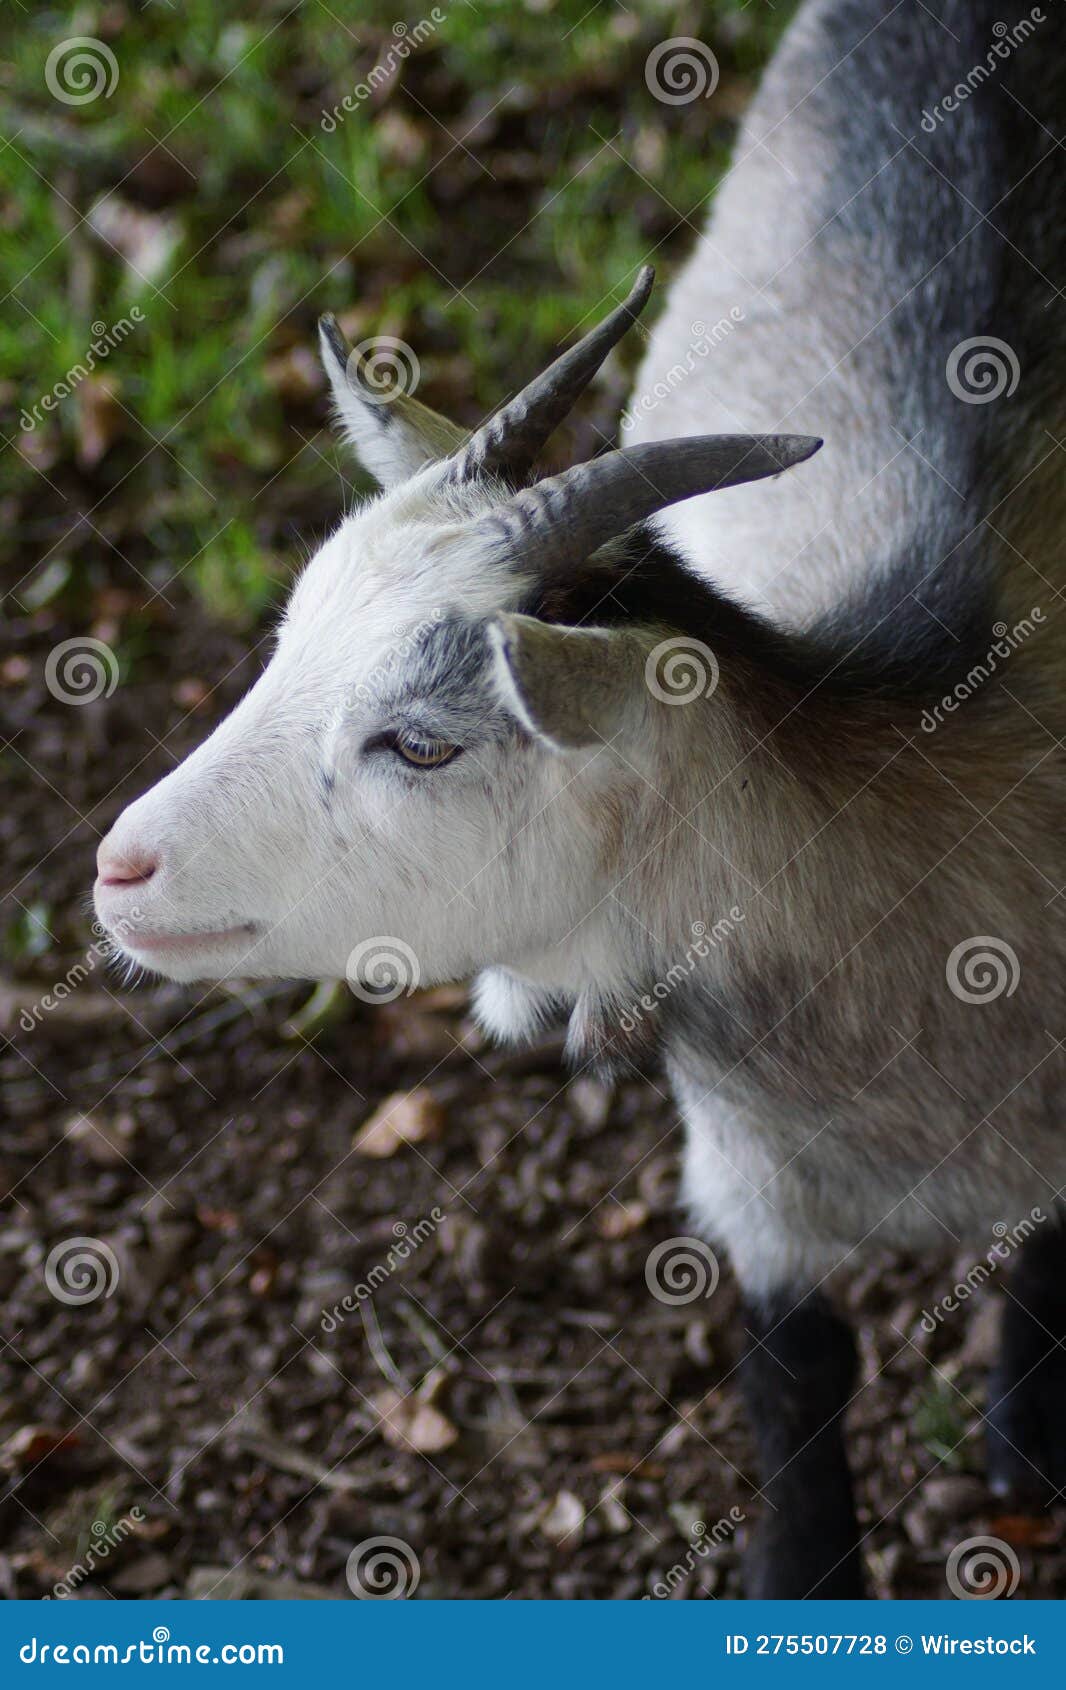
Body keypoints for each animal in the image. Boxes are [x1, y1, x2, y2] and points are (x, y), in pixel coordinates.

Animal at [94, 0, 1066, 1598]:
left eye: (423, 743)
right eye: (288, 640)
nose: (121, 868)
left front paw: (1025, 1447)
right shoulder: (751, 1181)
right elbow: (795, 1373)